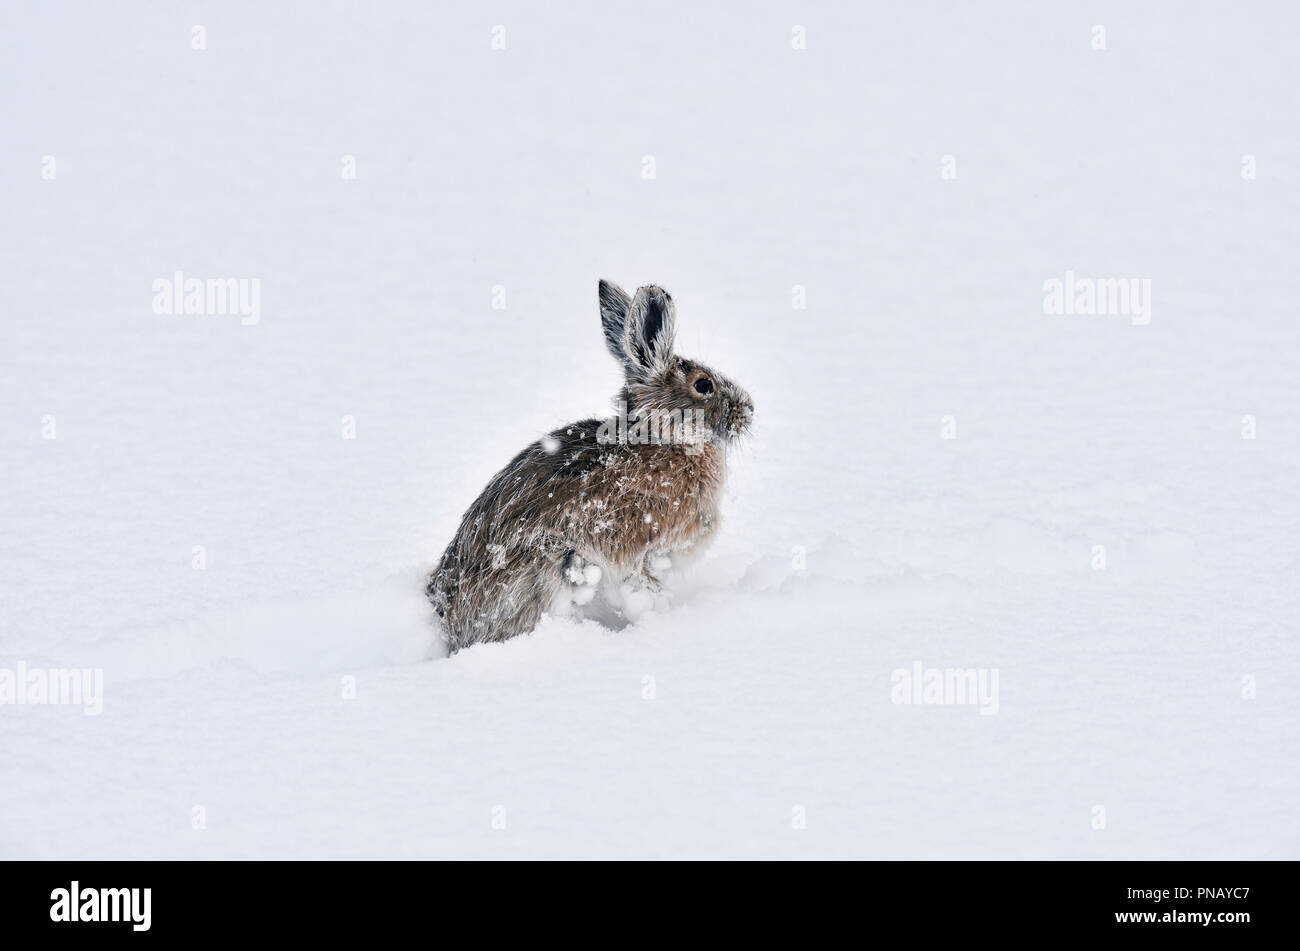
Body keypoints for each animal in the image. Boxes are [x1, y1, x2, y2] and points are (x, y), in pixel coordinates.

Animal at [427, 280, 754, 653]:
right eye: (703, 384)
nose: (749, 409)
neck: (666, 438)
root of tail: (452, 627)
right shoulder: (644, 552)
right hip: (552, 569)